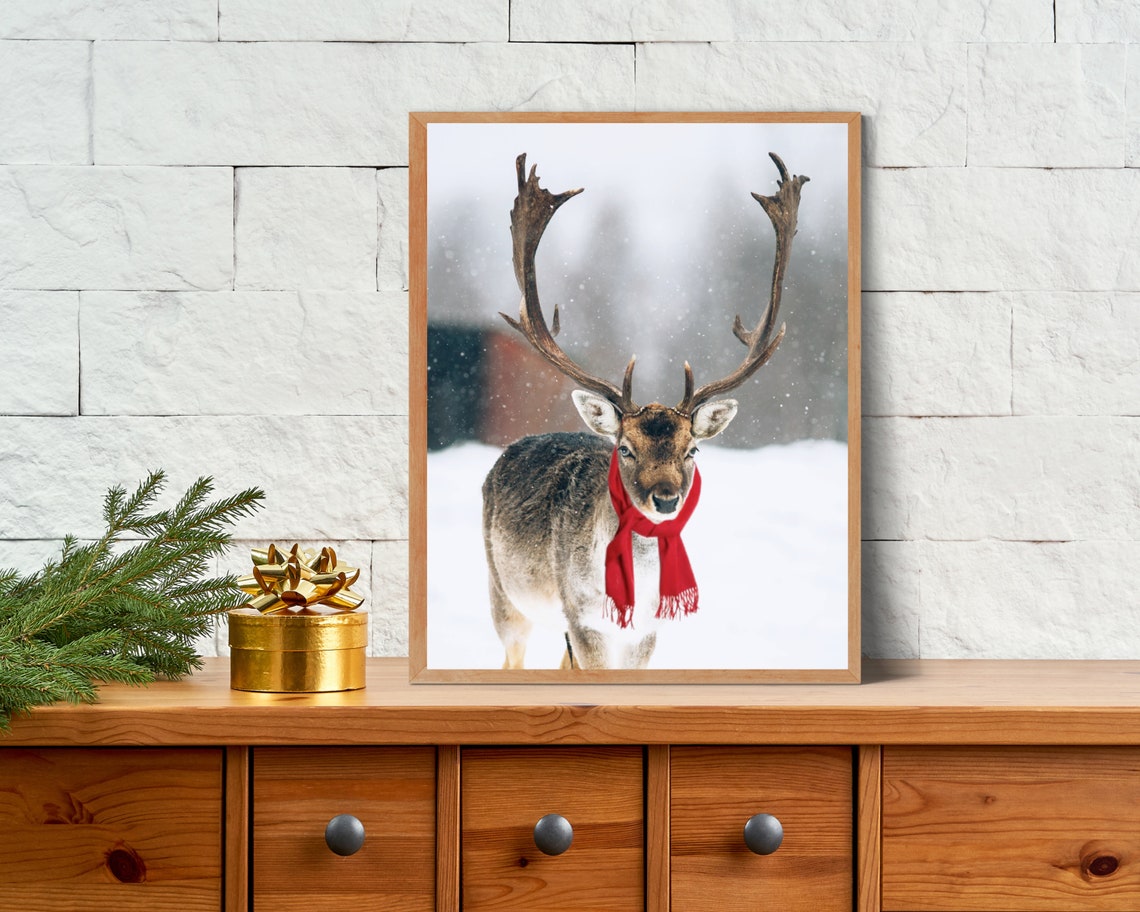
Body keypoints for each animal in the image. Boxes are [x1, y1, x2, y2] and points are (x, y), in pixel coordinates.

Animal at [481, 151, 808, 670]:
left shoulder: (648, 632)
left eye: (693, 449)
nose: (667, 498)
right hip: (505, 597)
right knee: (512, 658)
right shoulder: (583, 620)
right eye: (626, 449)